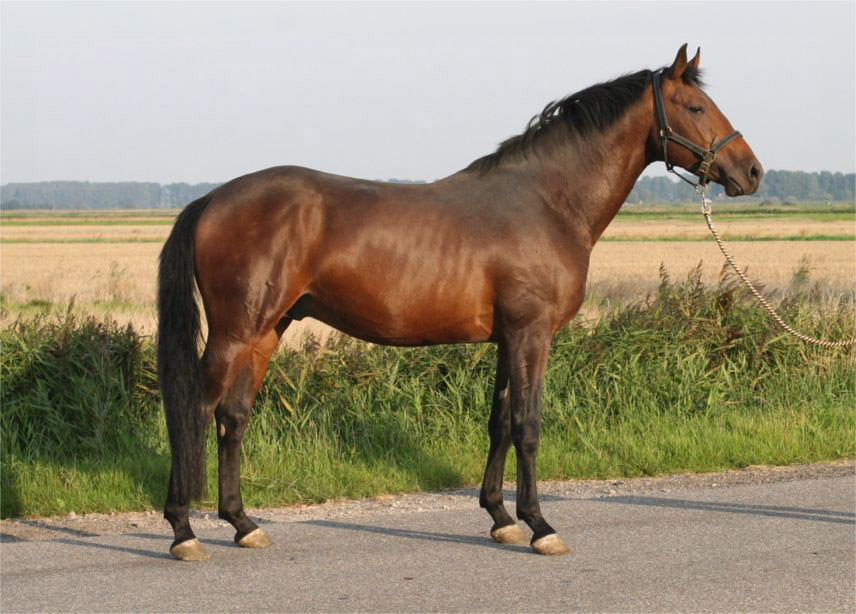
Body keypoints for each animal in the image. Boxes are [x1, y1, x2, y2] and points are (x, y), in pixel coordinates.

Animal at [157, 44, 762, 561]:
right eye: (695, 106)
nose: (751, 171)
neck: (546, 201)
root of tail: (212, 199)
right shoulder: (531, 334)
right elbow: (527, 425)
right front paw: (541, 526)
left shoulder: (507, 339)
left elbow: (499, 422)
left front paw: (501, 518)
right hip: (235, 332)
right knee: (195, 412)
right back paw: (184, 530)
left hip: (267, 331)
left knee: (233, 418)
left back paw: (243, 524)